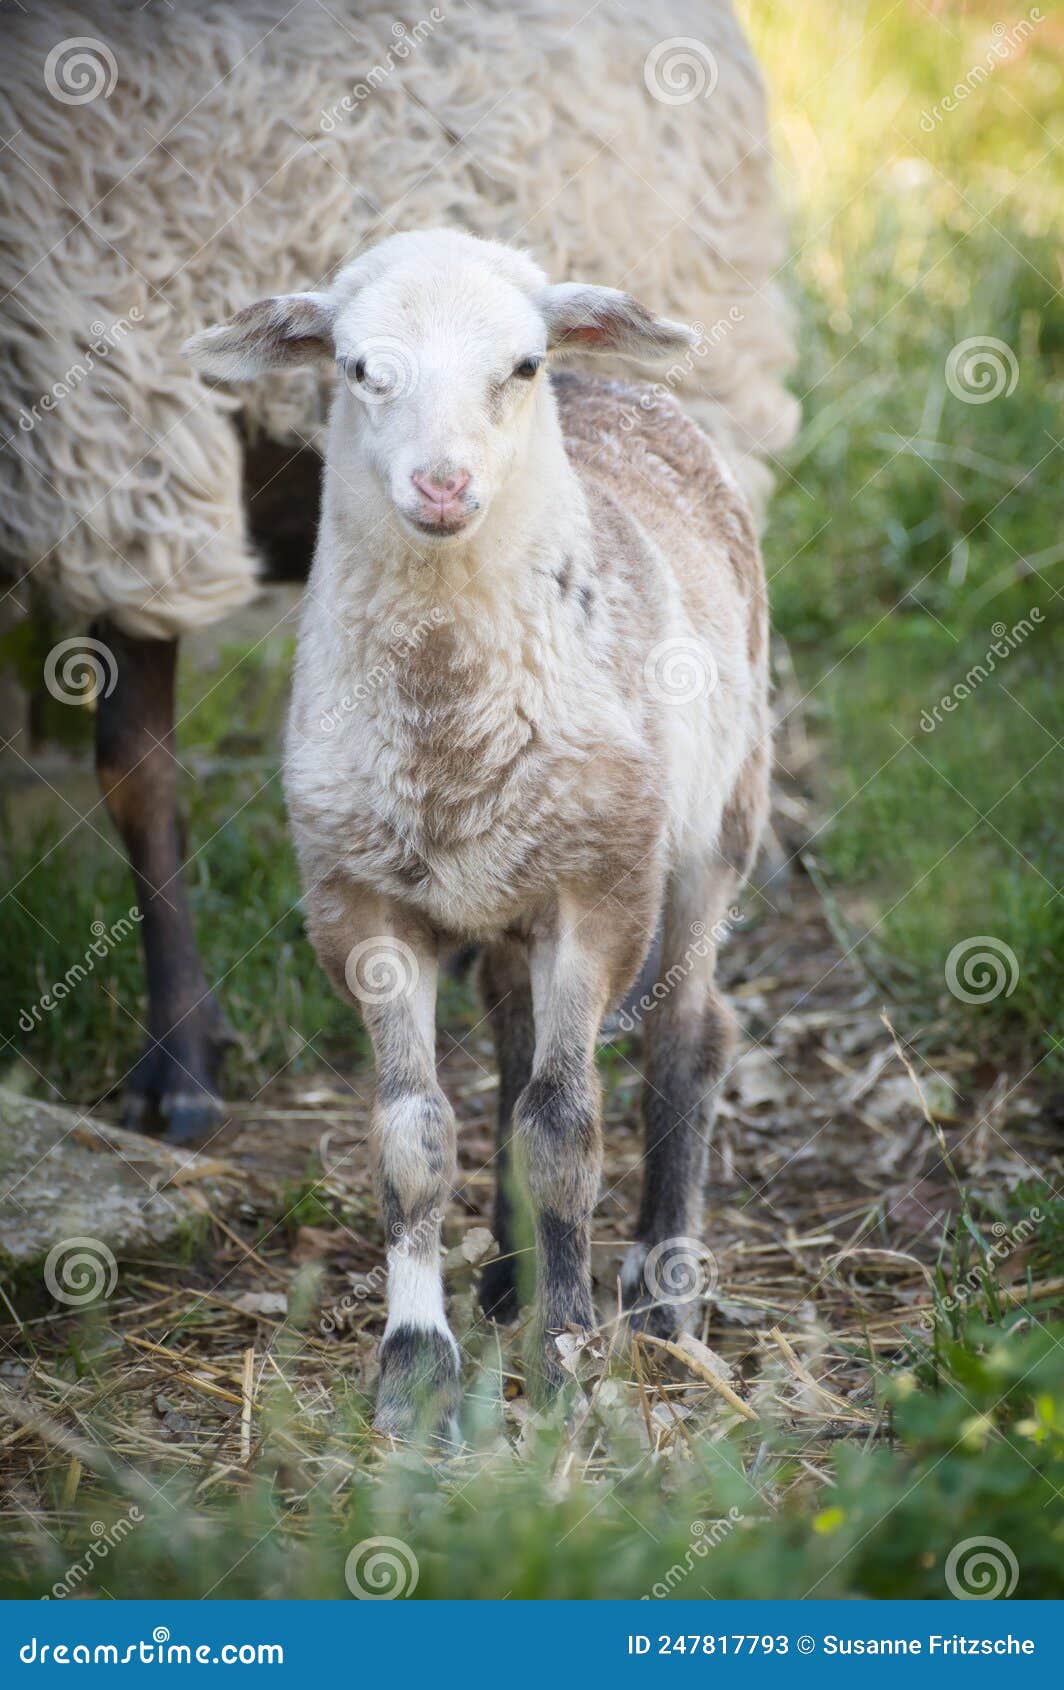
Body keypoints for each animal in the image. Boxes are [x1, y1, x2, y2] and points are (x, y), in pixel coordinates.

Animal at [1, 0, 795, 1139]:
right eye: (357, 368)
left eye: (521, 364)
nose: (441, 488)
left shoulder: (117, 438)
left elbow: (133, 765)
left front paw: (178, 1067)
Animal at [184, 227, 769, 1436]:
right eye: (359, 369)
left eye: (520, 366)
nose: (442, 484)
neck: (445, 708)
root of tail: (614, 385)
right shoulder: (355, 899)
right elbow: (413, 1135)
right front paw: (415, 1364)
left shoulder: (599, 893)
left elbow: (563, 1130)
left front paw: (566, 1356)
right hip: (508, 882)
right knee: (509, 1034)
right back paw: (506, 1277)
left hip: (715, 824)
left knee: (689, 1038)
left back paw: (661, 1296)